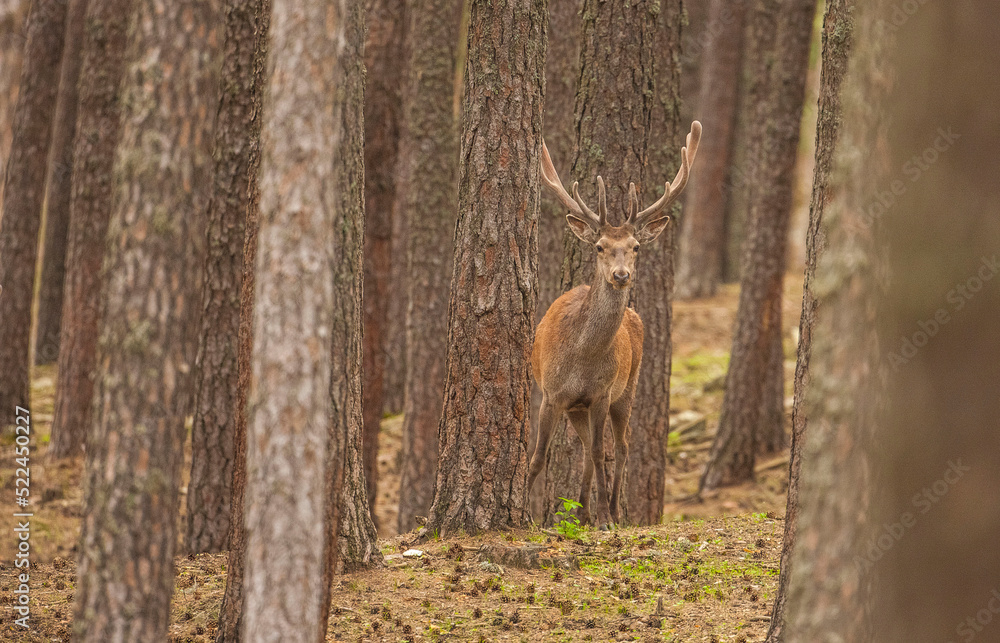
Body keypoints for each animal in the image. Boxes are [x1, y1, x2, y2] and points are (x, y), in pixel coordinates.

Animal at [527, 121, 701, 528]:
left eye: (635, 246)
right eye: (599, 246)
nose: (621, 275)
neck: (581, 357)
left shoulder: (603, 392)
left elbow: (599, 452)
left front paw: (605, 517)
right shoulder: (553, 394)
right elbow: (539, 455)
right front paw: (523, 511)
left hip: (628, 387)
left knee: (620, 446)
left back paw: (613, 510)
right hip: (577, 408)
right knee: (588, 449)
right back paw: (582, 511)